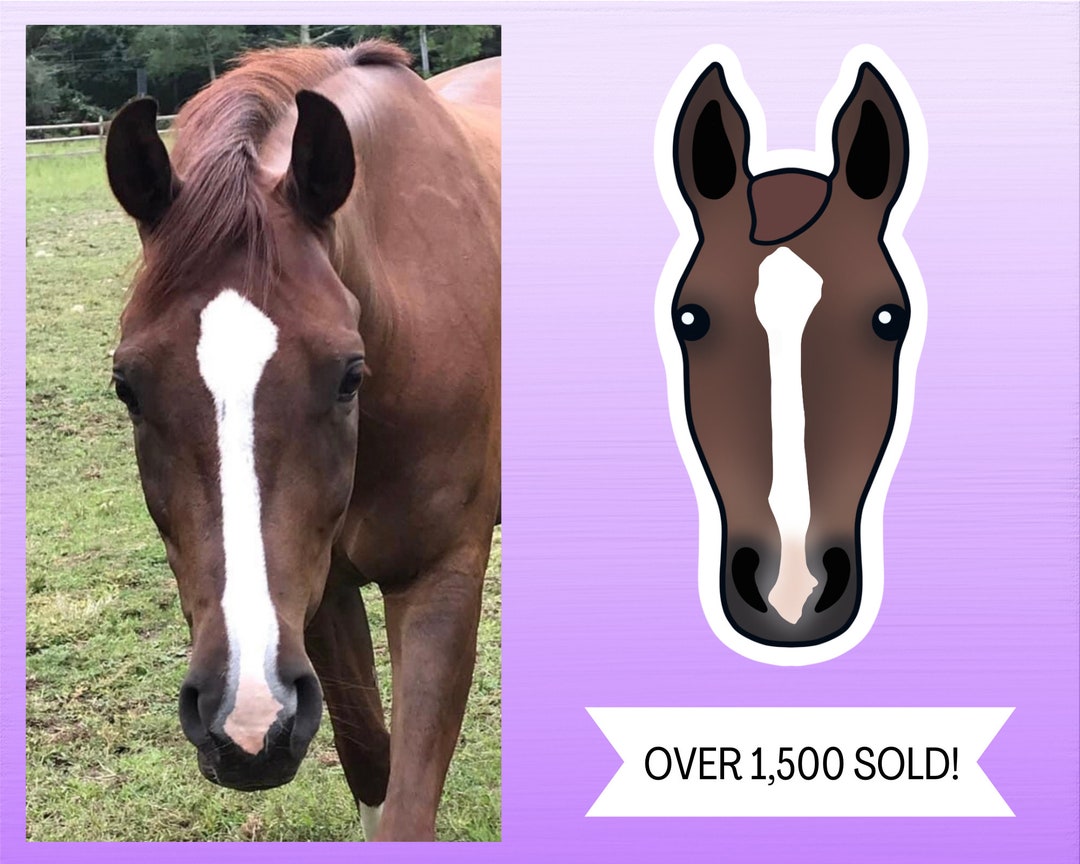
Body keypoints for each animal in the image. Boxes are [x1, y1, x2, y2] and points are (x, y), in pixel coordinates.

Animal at [104, 41, 500, 840]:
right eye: (127, 385)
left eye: (348, 374)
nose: (245, 721)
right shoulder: (320, 594)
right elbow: (372, 764)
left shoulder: (441, 578)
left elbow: (408, 803)